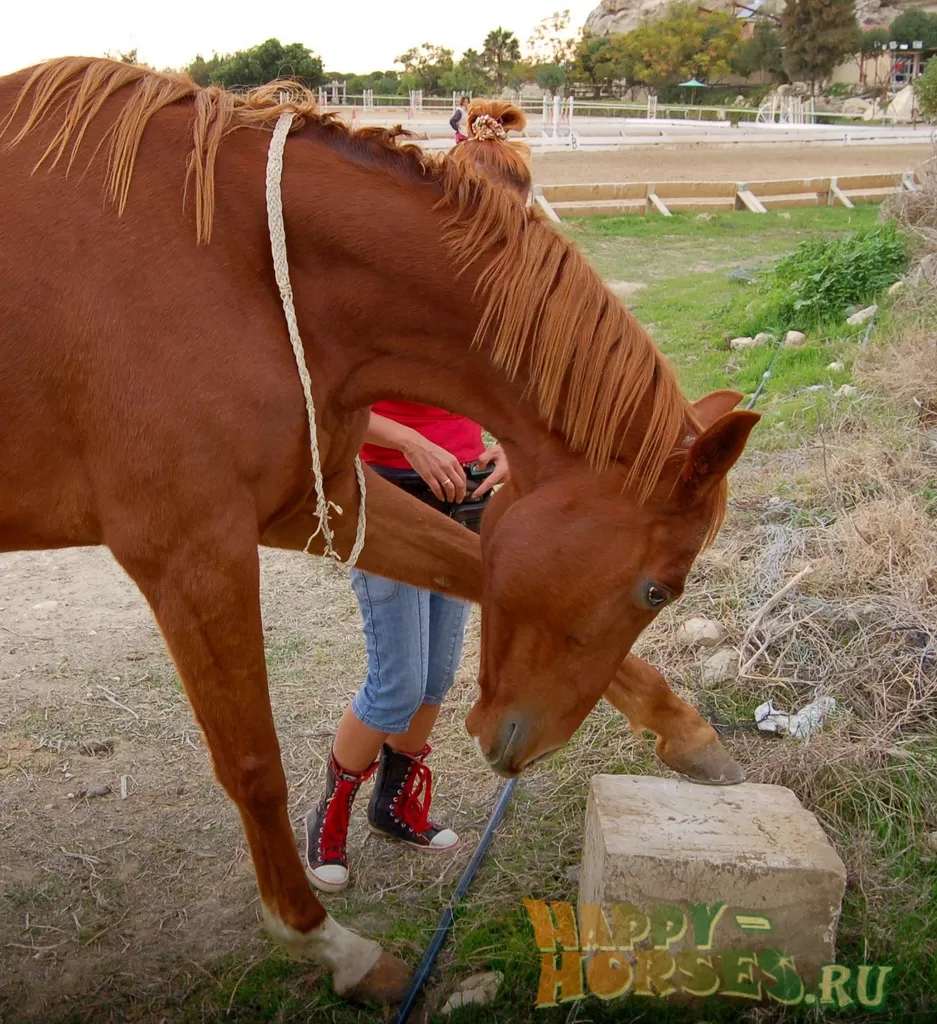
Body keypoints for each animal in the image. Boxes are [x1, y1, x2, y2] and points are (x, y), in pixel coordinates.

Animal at [0, 58, 757, 999]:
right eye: (656, 589)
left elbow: (467, 558)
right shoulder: (191, 552)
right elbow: (252, 765)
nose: (520, 750)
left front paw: (689, 735)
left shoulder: (316, 502)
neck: (228, 261)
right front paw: (328, 944)